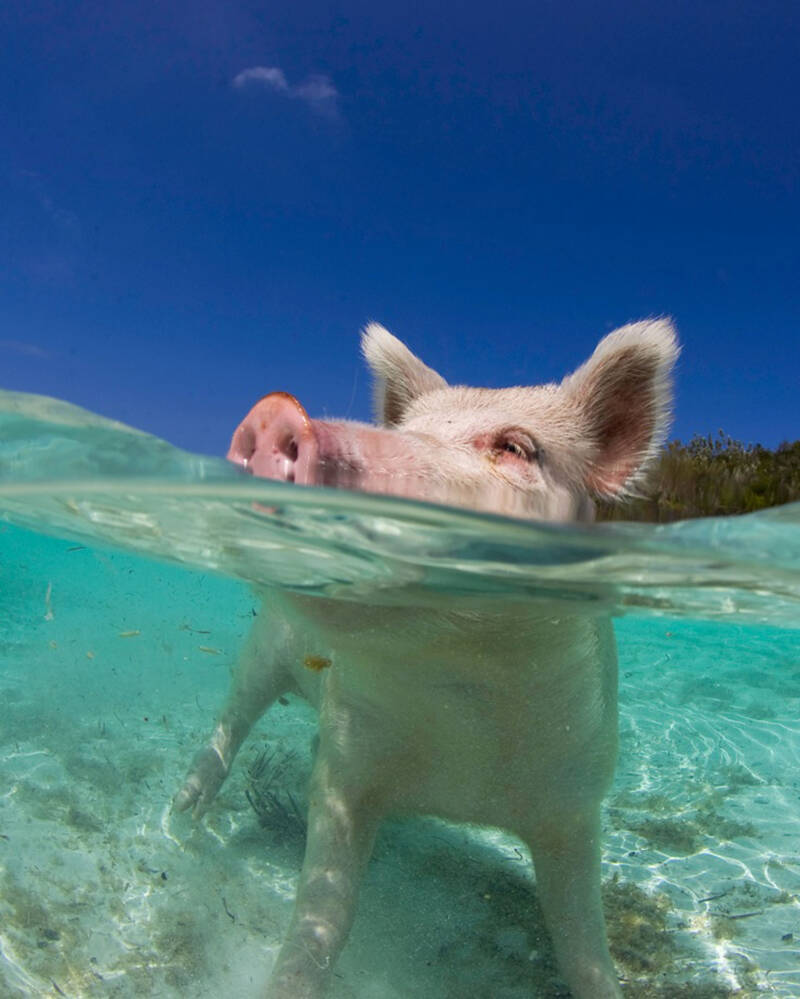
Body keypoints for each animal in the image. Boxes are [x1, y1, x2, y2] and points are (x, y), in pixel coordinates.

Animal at [174, 319, 678, 999]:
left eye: (515, 448)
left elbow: (582, 945)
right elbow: (324, 916)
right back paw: (184, 818)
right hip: (267, 645)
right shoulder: (345, 769)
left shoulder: (575, 799)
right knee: (233, 717)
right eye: (405, 429)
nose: (278, 412)